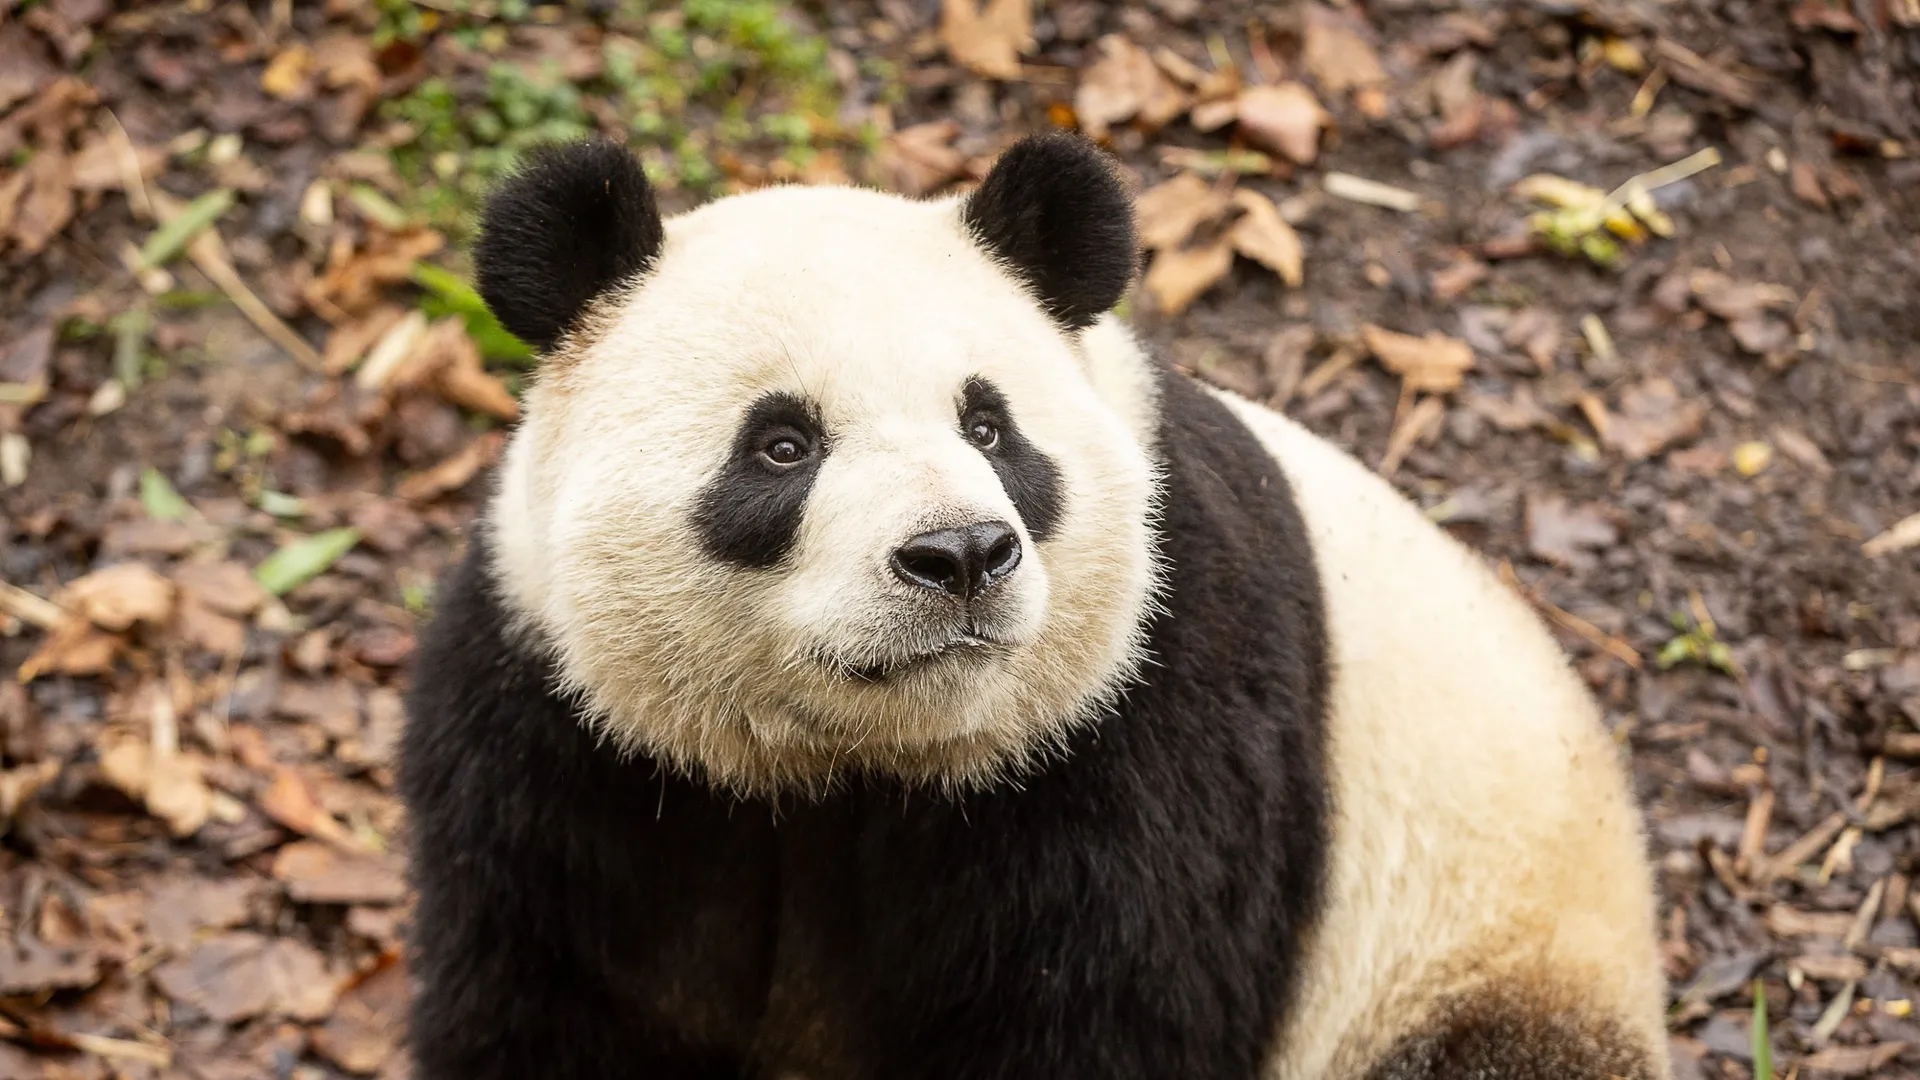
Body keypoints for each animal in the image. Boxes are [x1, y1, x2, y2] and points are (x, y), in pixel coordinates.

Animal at [398, 132, 1673, 1080]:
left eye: (990, 425)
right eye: (781, 444)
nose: (960, 554)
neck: (843, 767)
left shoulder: (1148, 727)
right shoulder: (573, 737)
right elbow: (553, 996)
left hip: (1483, 947)